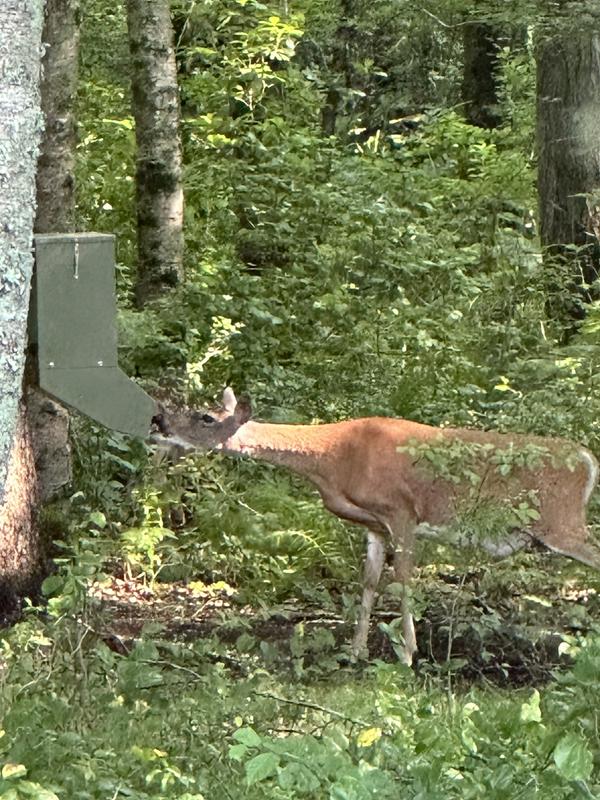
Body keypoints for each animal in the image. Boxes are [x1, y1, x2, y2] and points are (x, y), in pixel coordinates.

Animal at [150, 387, 600, 665]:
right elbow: (368, 581)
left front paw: (408, 652)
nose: (159, 423)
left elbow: (402, 579)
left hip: (562, 521)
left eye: (206, 417)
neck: (333, 461)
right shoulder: (374, 526)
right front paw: (356, 651)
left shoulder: (401, 511)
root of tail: (587, 459)